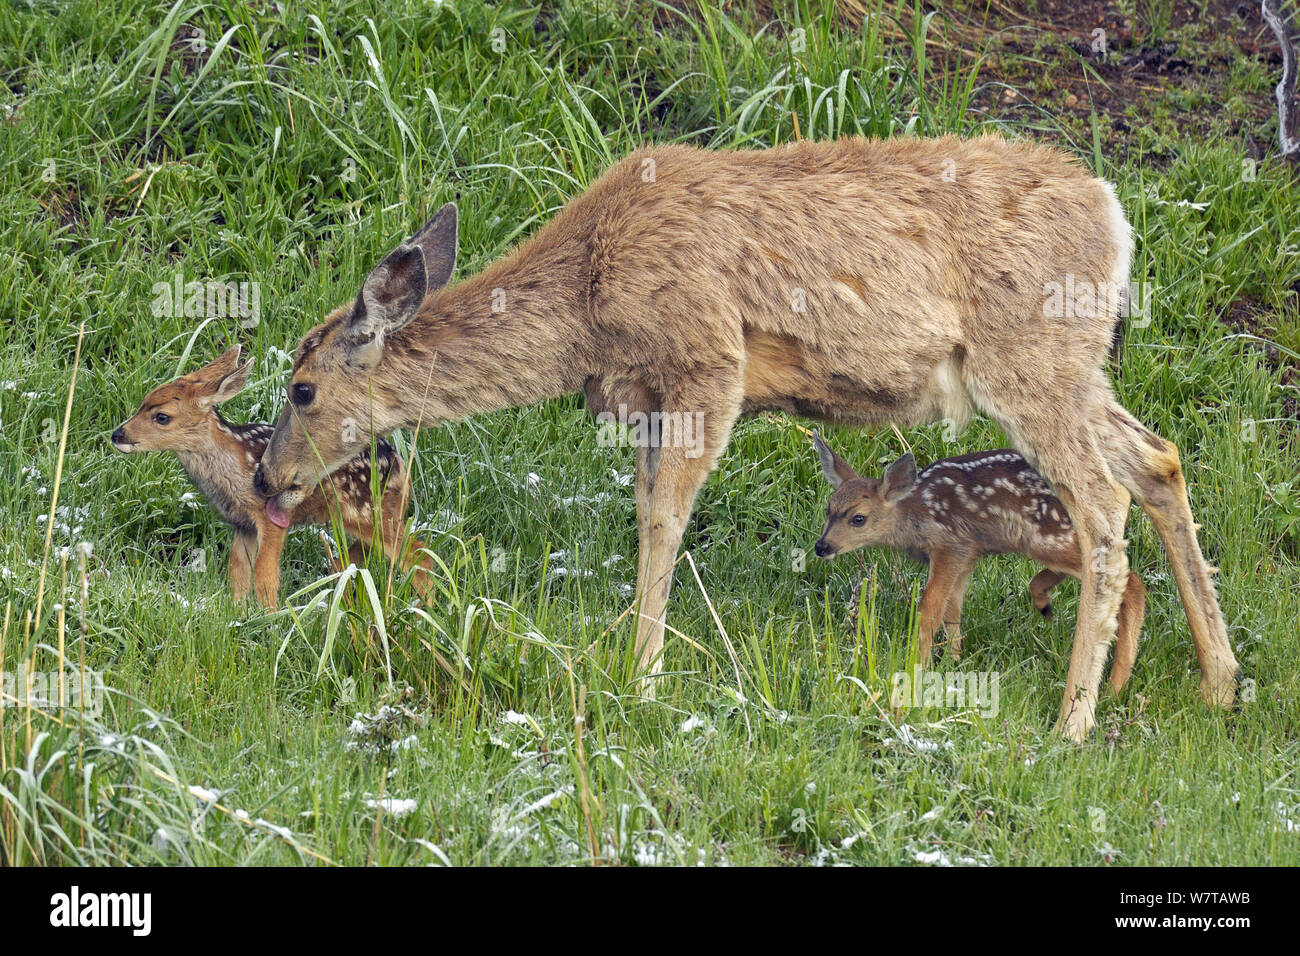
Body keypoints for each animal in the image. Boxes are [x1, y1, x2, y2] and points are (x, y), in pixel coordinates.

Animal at [111, 345, 432, 607]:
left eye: (162, 417)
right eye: (143, 402)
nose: (117, 435)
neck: (236, 467)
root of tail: (402, 469)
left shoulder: (272, 516)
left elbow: (264, 576)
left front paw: (270, 616)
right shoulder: (242, 524)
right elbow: (237, 574)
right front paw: (238, 612)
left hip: (370, 513)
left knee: (419, 554)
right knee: (350, 561)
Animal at [812, 434, 1146, 690]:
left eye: (859, 519)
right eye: (828, 508)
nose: (822, 547)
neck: (915, 513)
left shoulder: (950, 545)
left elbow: (930, 609)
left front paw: (919, 665)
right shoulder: (968, 555)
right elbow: (953, 611)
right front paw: (953, 661)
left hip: (1047, 536)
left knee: (1129, 579)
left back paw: (1115, 687)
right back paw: (1044, 603)